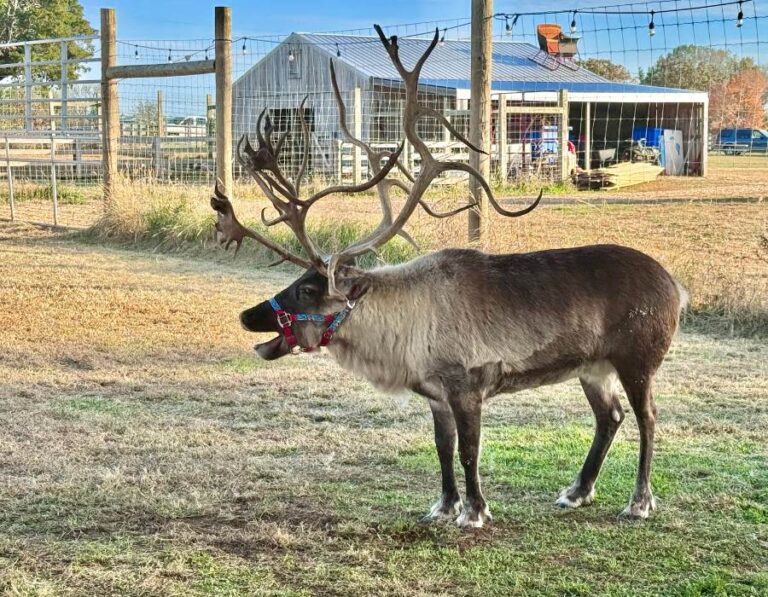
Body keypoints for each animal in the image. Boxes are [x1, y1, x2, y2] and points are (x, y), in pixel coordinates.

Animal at [210, 25, 689, 528]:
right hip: (593, 366)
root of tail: (676, 287)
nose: (247, 316)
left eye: (306, 289)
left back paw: (640, 501)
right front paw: (443, 505)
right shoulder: (435, 395)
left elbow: (469, 452)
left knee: (648, 417)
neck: (400, 330)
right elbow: (442, 449)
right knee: (609, 417)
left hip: (638, 358)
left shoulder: (469, 387)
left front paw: (475, 510)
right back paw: (577, 491)